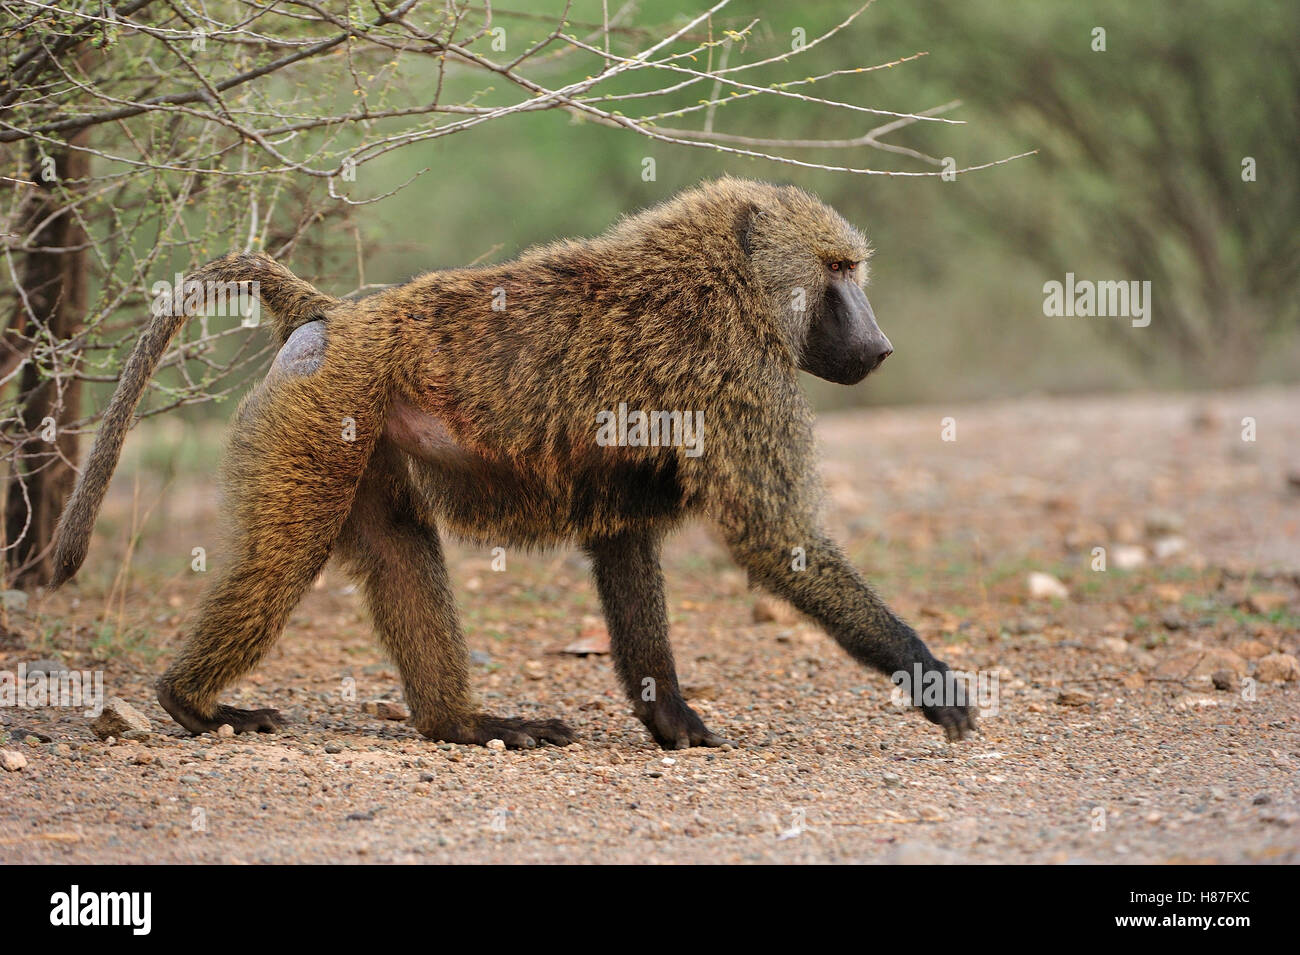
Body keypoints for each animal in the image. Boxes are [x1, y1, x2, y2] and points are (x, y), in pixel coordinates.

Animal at [52, 177, 978, 749]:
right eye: (838, 271)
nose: (880, 347)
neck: (728, 281)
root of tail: (336, 315)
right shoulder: (741, 378)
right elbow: (777, 539)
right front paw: (933, 683)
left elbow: (625, 543)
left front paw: (672, 718)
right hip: (319, 417)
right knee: (284, 559)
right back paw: (190, 702)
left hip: (358, 432)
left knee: (395, 546)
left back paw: (461, 724)